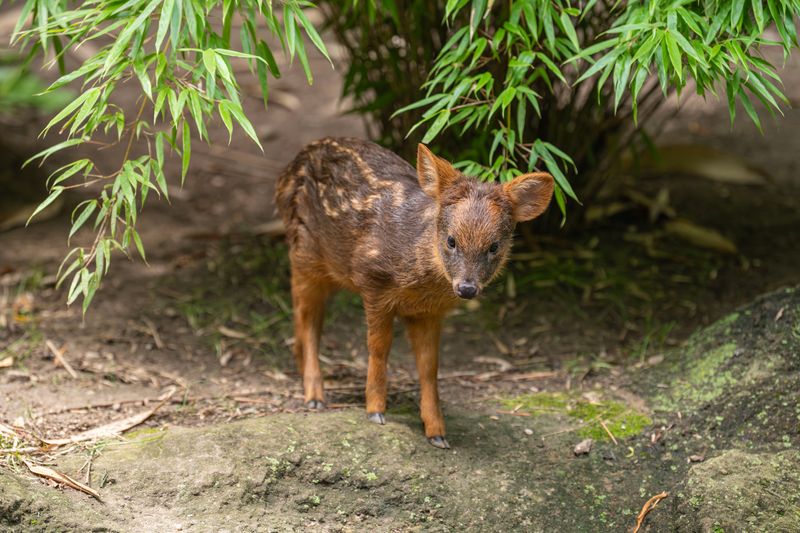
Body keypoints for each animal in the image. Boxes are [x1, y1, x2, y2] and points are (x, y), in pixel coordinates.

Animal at [276, 137, 554, 448]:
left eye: (494, 246)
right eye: (451, 240)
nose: (467, 288)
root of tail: (292, 165)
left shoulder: (428, 312)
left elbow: (429, 365)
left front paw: (437, 432)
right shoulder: (373, 283)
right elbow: (379, 348)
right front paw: (375, 411)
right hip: (304, 252)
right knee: (307, 319)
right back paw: (315, 397)